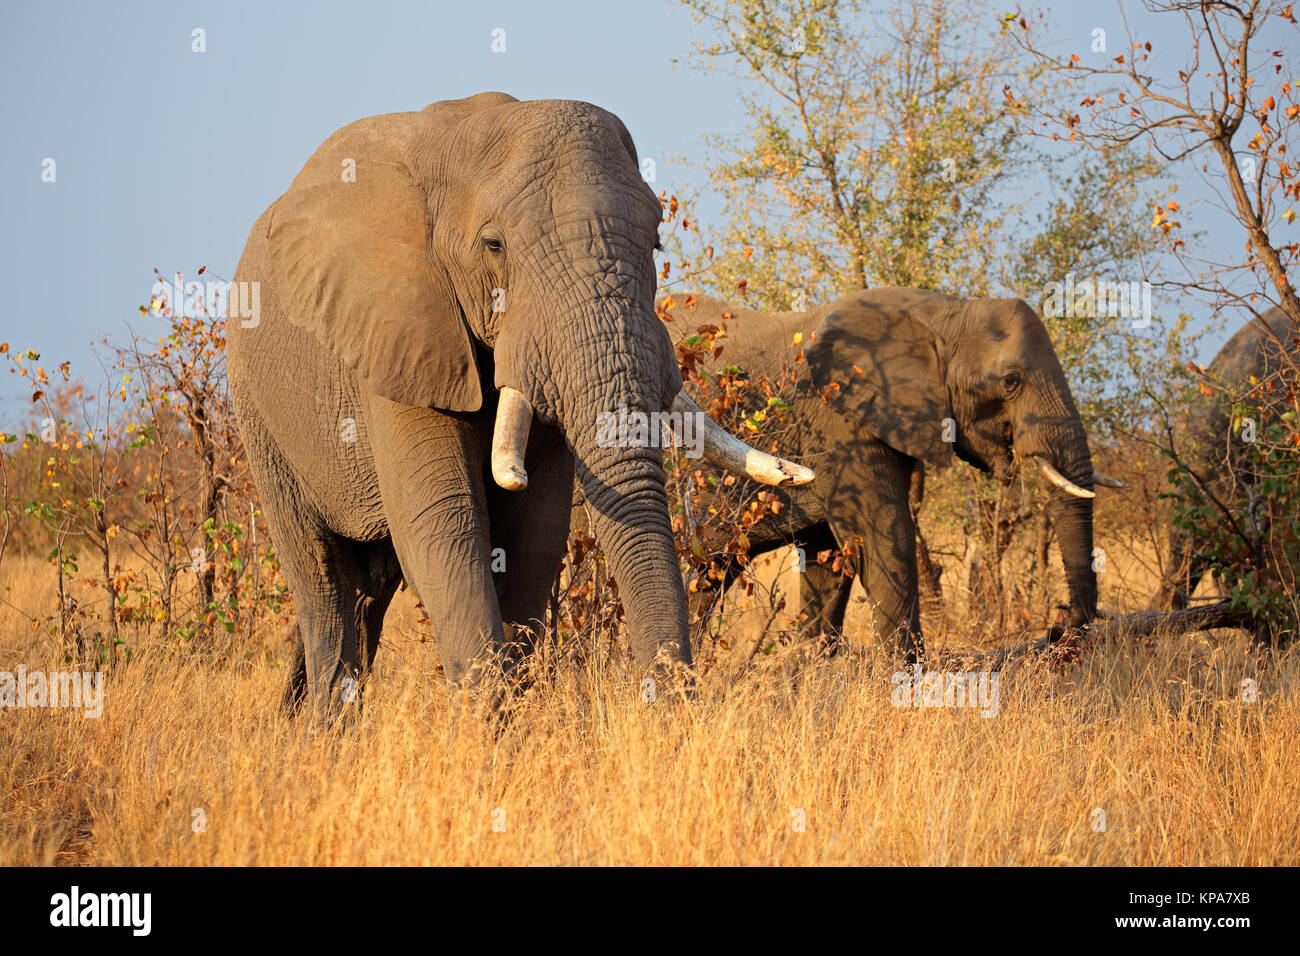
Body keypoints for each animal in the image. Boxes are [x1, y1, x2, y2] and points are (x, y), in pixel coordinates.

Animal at [227, 92, 812, 720]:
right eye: (494, 245)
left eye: (656, 242)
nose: (672, 701)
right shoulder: (398, 333)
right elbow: (443, 520)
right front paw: (485, 722)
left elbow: (535, 531)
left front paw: (511, 718)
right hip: (260, 413)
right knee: (325, 581)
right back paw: (323, 727)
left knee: (368, 590)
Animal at [604, 288, 1120, 660]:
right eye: (1011, 381)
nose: (1058, 623)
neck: (945, 313)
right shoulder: (840, 420)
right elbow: (883, 534)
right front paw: (906, 677)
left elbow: (831, 556)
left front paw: (814, 661)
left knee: (709, 575)